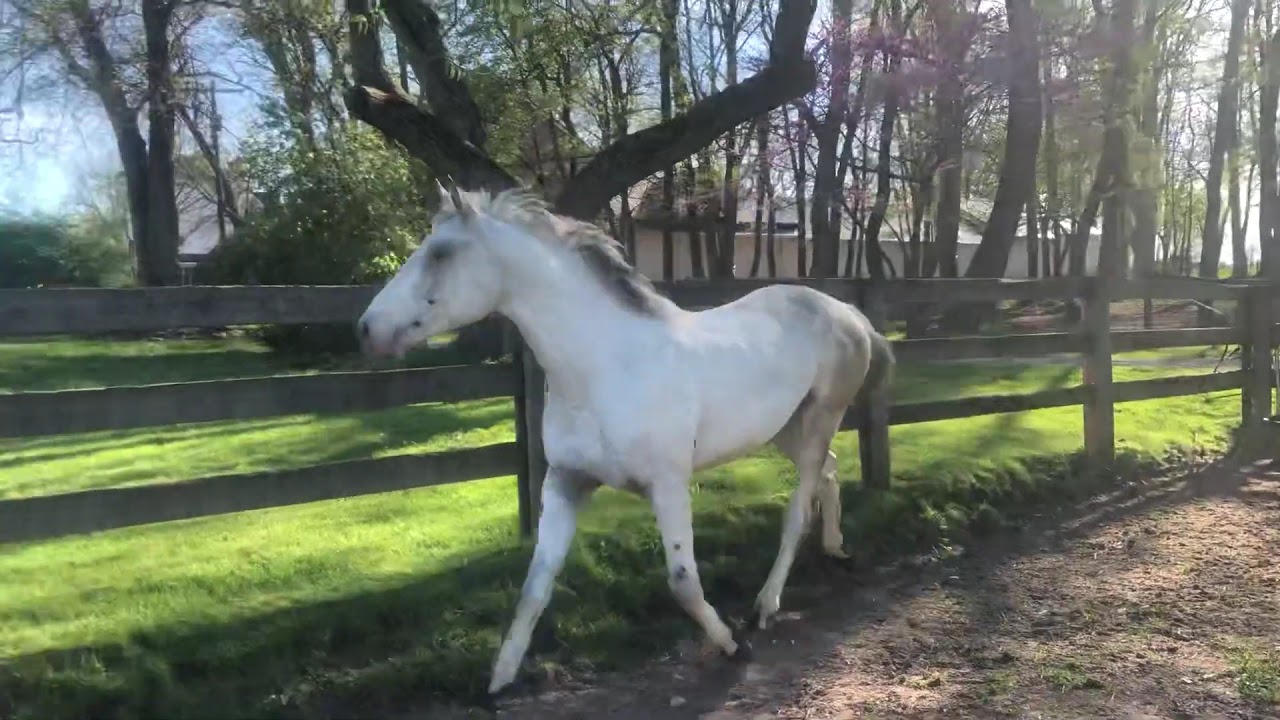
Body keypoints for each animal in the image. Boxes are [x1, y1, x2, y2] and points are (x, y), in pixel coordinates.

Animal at [357, 180, 896, 695]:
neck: (603, 369)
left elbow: (682, 582)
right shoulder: (565, 482)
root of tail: (847, 311)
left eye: (441, 252)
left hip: (821, 416)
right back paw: (836, 549)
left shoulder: (669, 485)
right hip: (786, 428)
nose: (365, 330)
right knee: (829, 470)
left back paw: (764, 607)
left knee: (798, 510)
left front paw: (732, 646)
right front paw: (499, 680)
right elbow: (535, 585)